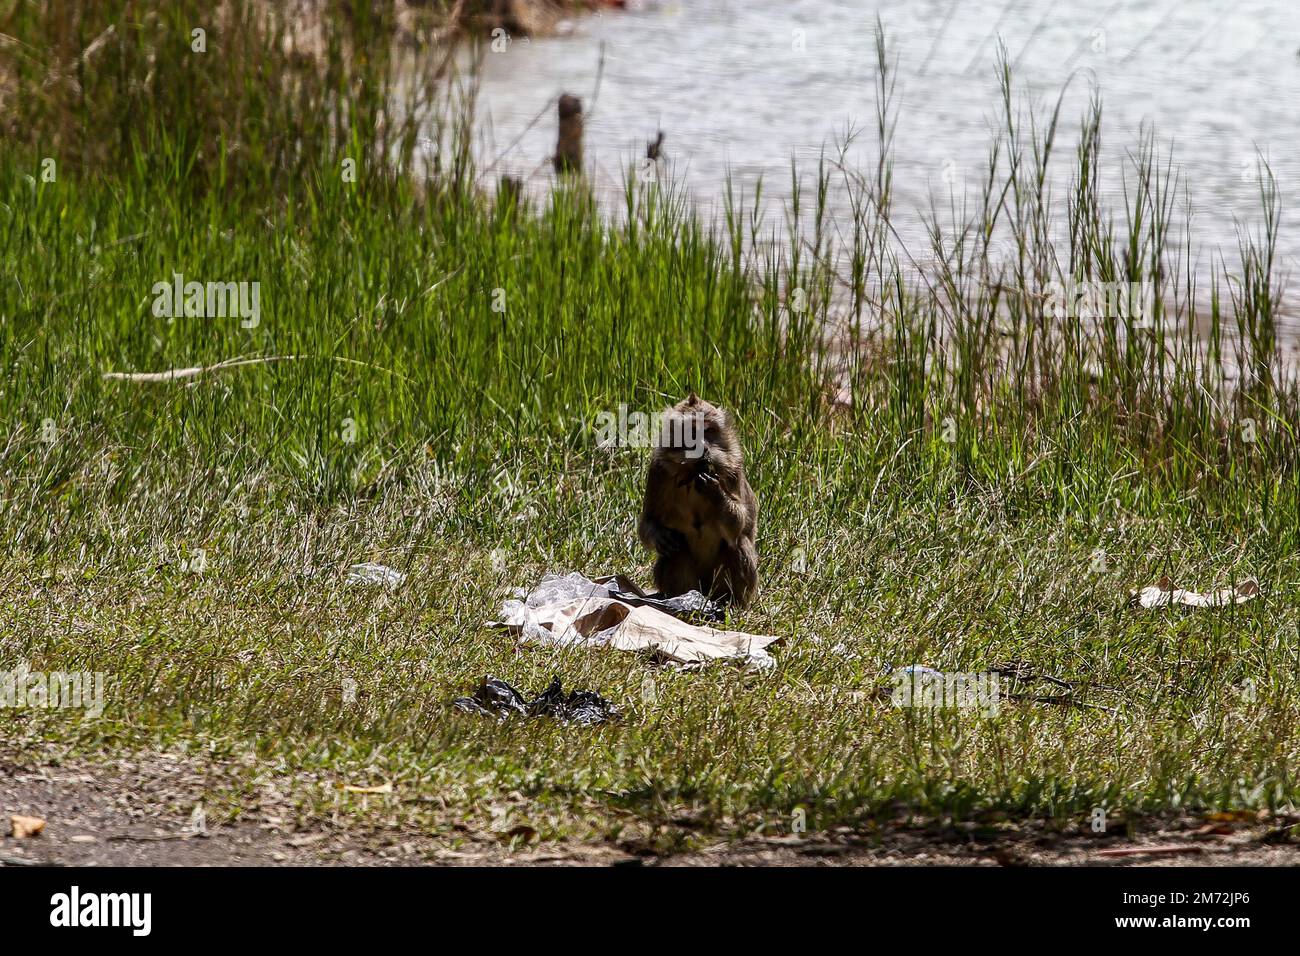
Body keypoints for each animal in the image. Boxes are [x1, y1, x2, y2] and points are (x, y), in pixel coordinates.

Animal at [638, 393, 759, 608]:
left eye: (709, 430)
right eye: (691, 431)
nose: (702, 447)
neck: (691, 472)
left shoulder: (734, 468)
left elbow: (739, 525)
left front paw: (715, 492)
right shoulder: (658, 471)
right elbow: (648, 521)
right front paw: (659, 535)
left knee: (738, 545)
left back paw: (728, 604)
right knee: (676, 550)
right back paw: (682, 598)